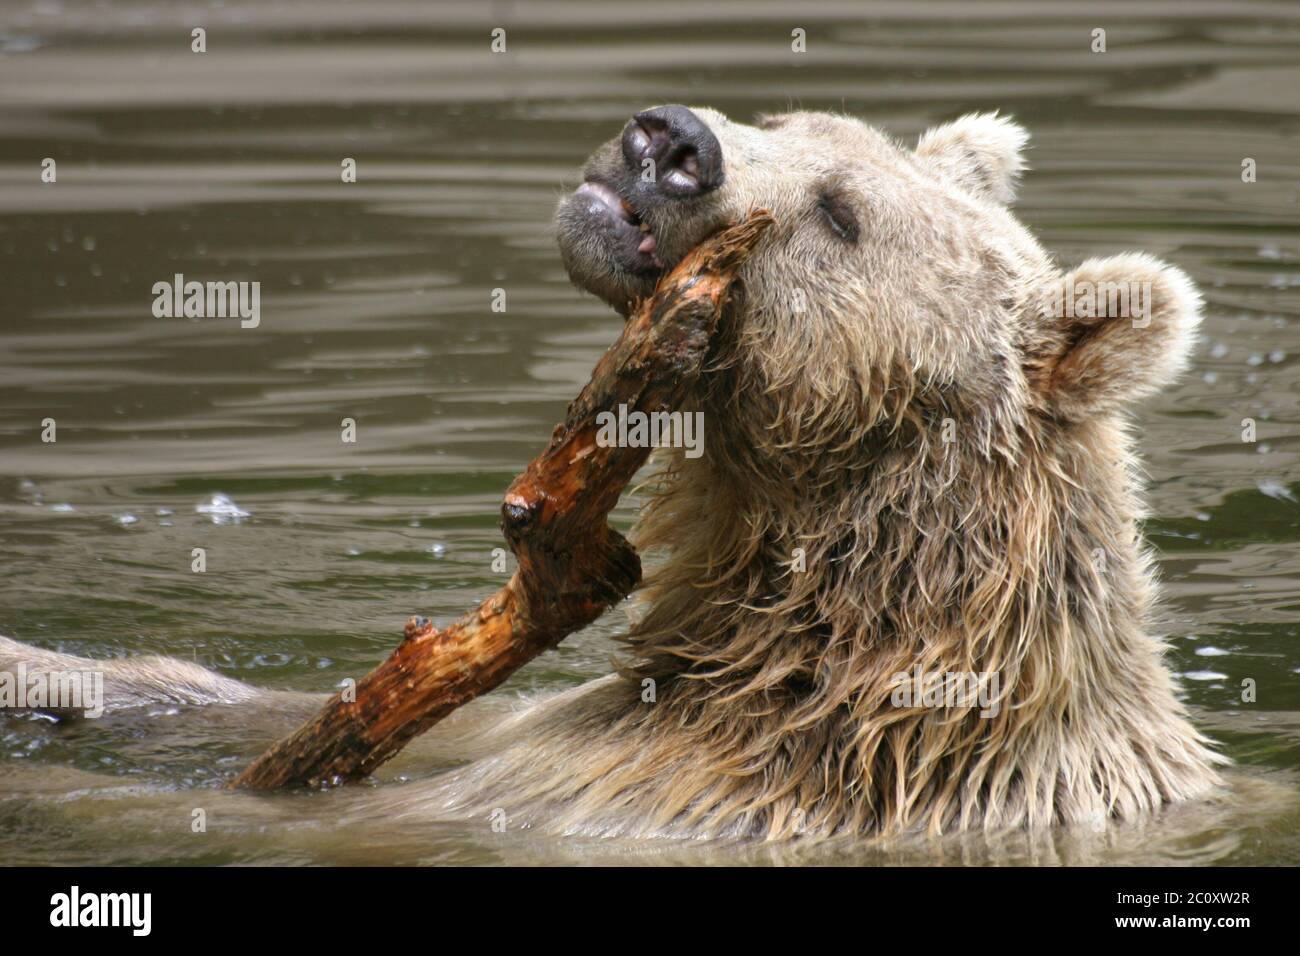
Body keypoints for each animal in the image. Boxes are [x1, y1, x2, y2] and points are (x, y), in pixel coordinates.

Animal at [0, 105, 1225, 843]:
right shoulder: (554, 724)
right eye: (791, 122)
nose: (669, 140)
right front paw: (49, 668)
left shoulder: (679, 785)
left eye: (841, 214)